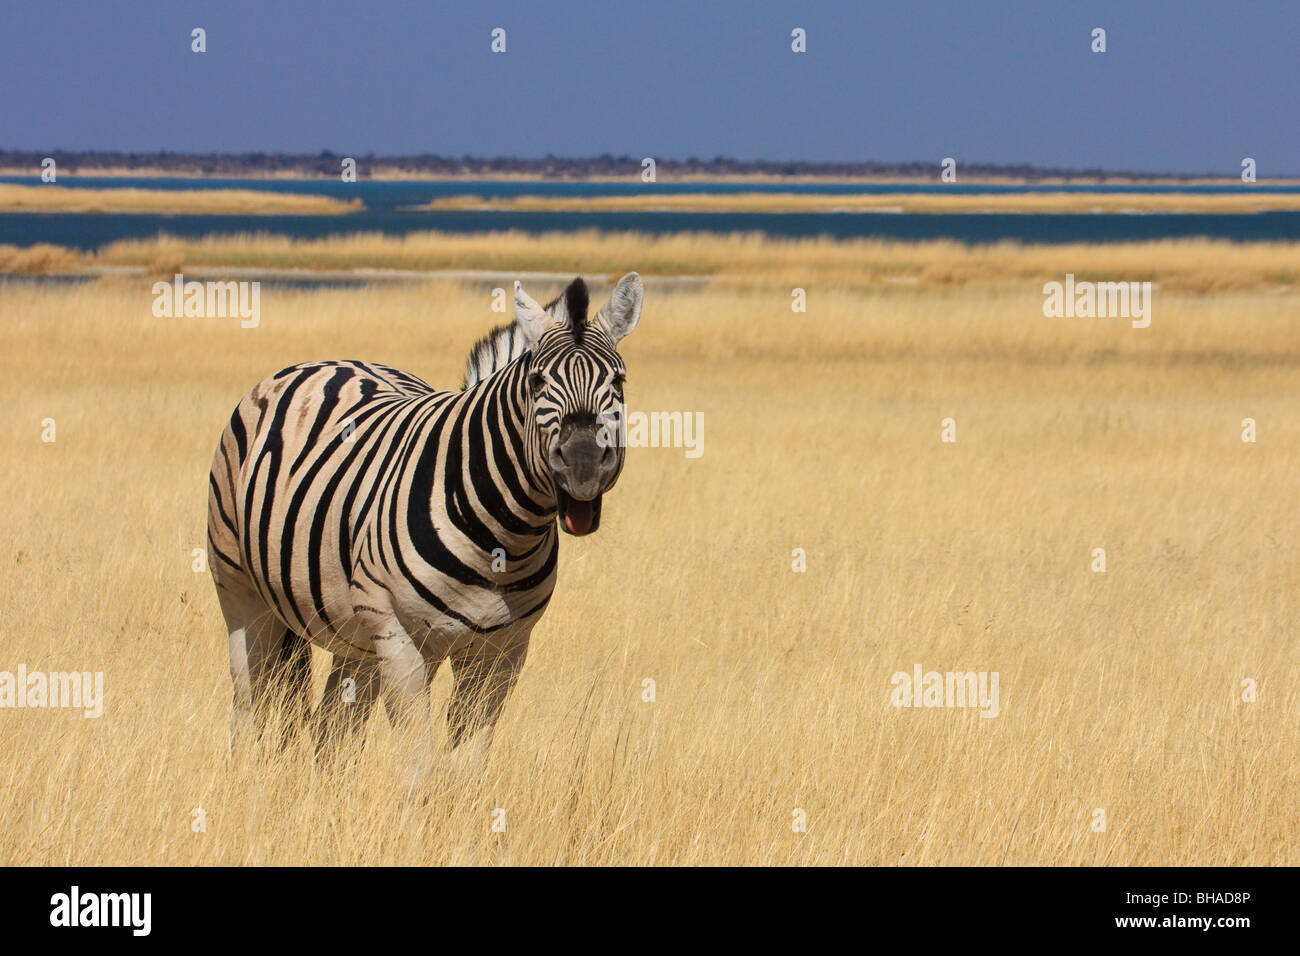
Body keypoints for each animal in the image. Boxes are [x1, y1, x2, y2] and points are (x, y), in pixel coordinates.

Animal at [206, 273, 643, 780]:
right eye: (537, 381)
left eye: (618, 379)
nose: (584, 466)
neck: (503, 539)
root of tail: (328, 362)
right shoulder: (401, 639)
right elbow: (421, 768)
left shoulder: (503, 650)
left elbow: (467, 764)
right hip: (242, 593)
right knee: (249, 701)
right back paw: (244, 780)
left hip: (355, 635)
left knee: (333, 728)